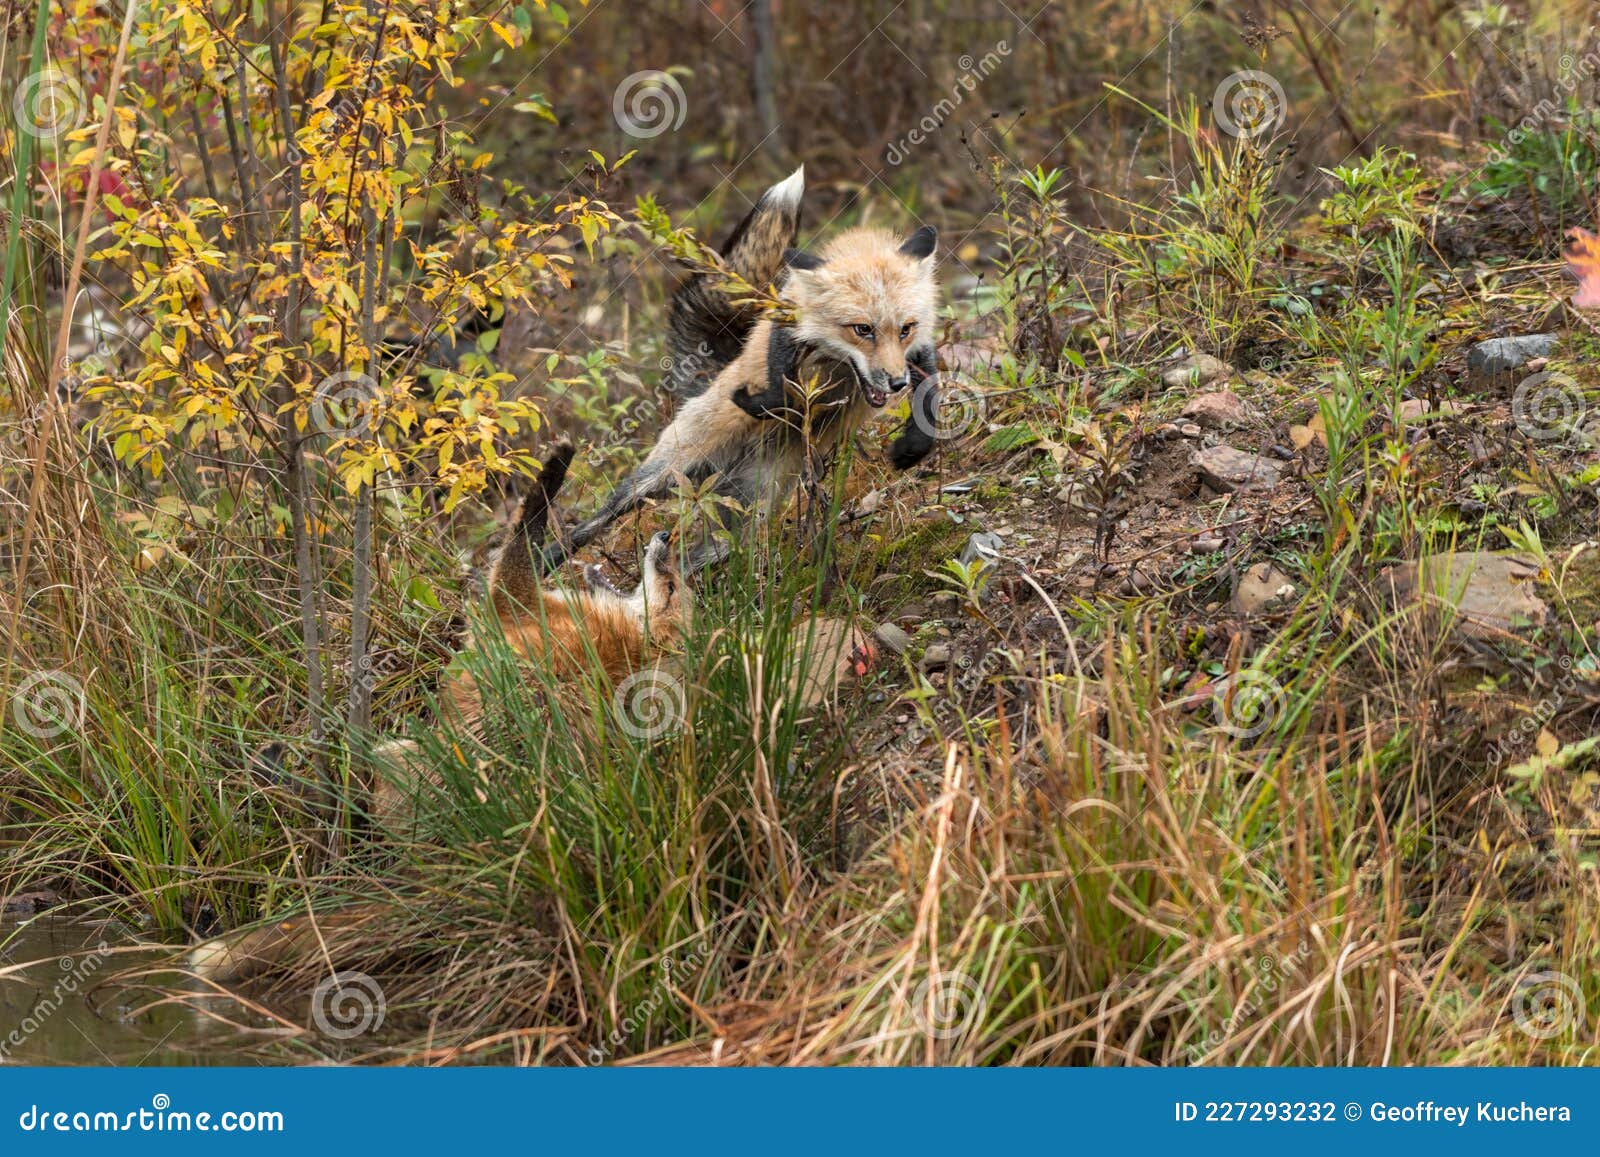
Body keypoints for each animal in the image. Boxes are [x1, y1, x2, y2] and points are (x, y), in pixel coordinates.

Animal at [543, 166, 943, 573]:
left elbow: (929, 397)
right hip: (662, 473)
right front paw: (765, 402)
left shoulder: (919, 350)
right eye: (862, 330)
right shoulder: (787, 319)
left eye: (905, 329)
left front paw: (913, 447)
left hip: (740, 520)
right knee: (594, 521)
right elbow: (778, 377)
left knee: (687, 558)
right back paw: (541, 560)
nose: (896, 383)